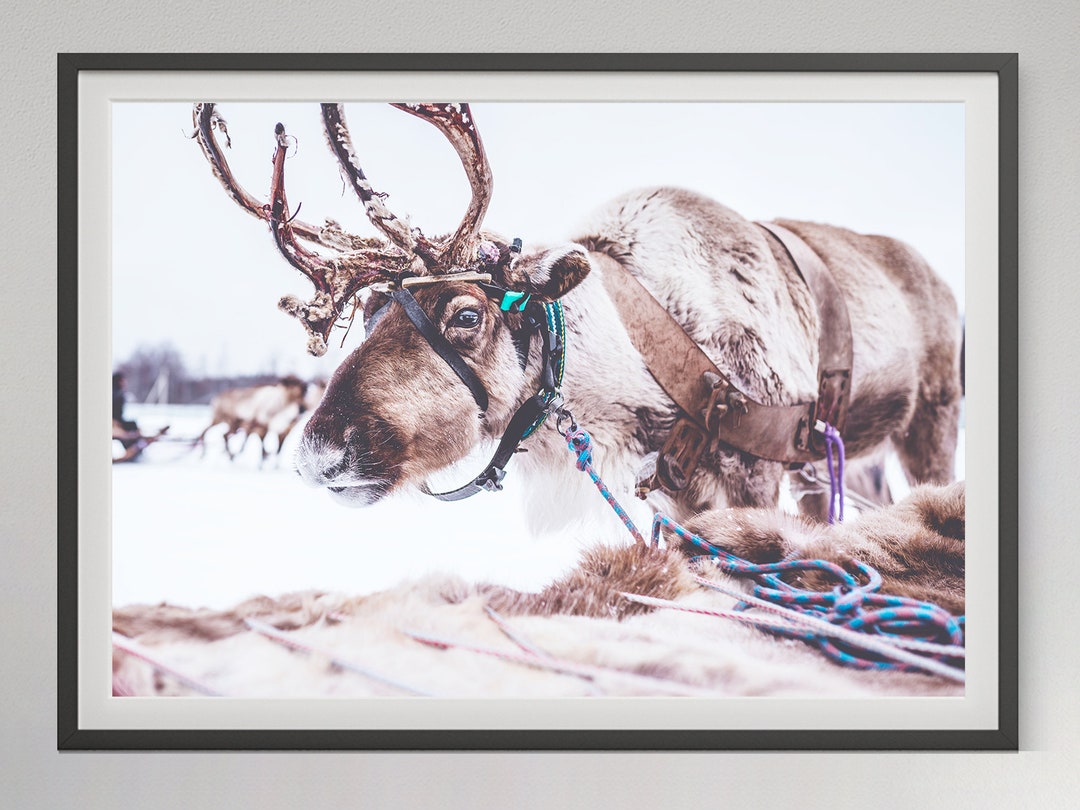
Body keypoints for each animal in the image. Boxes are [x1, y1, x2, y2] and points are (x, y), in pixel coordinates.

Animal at [192, 102, 962, 531]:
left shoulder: (752, 473)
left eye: (466, 315)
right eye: (370, 310)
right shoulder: (676, 496)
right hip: (845, 459)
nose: (317, 453)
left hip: (931, 421)